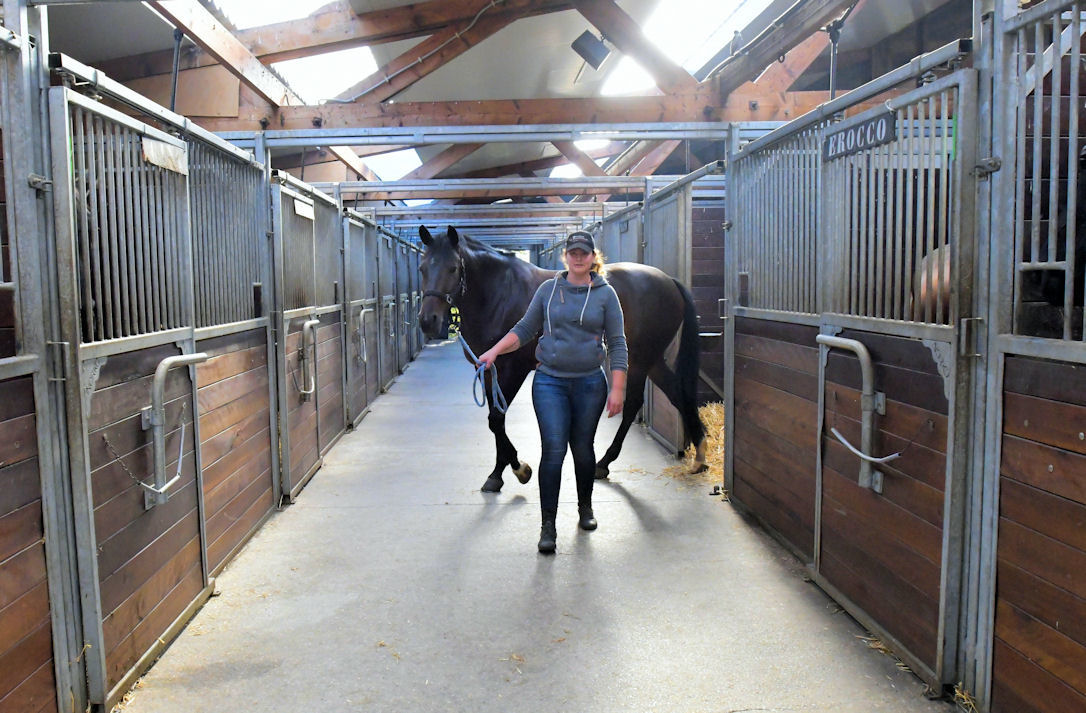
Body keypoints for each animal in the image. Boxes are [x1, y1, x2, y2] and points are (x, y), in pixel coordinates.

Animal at [417, 225, 707, 493]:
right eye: (422, 269)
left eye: (453, 268)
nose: (427, 321)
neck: (499, 294)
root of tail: (669, 280)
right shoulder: (488, 368)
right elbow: (496, 420)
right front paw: (497, 474)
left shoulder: (512, 370)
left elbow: (496, 419)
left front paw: (520, 469)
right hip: (653, 360)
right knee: (677, 394)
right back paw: (700, 457)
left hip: (639, 359)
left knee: (633, 404)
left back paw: (604, 463)